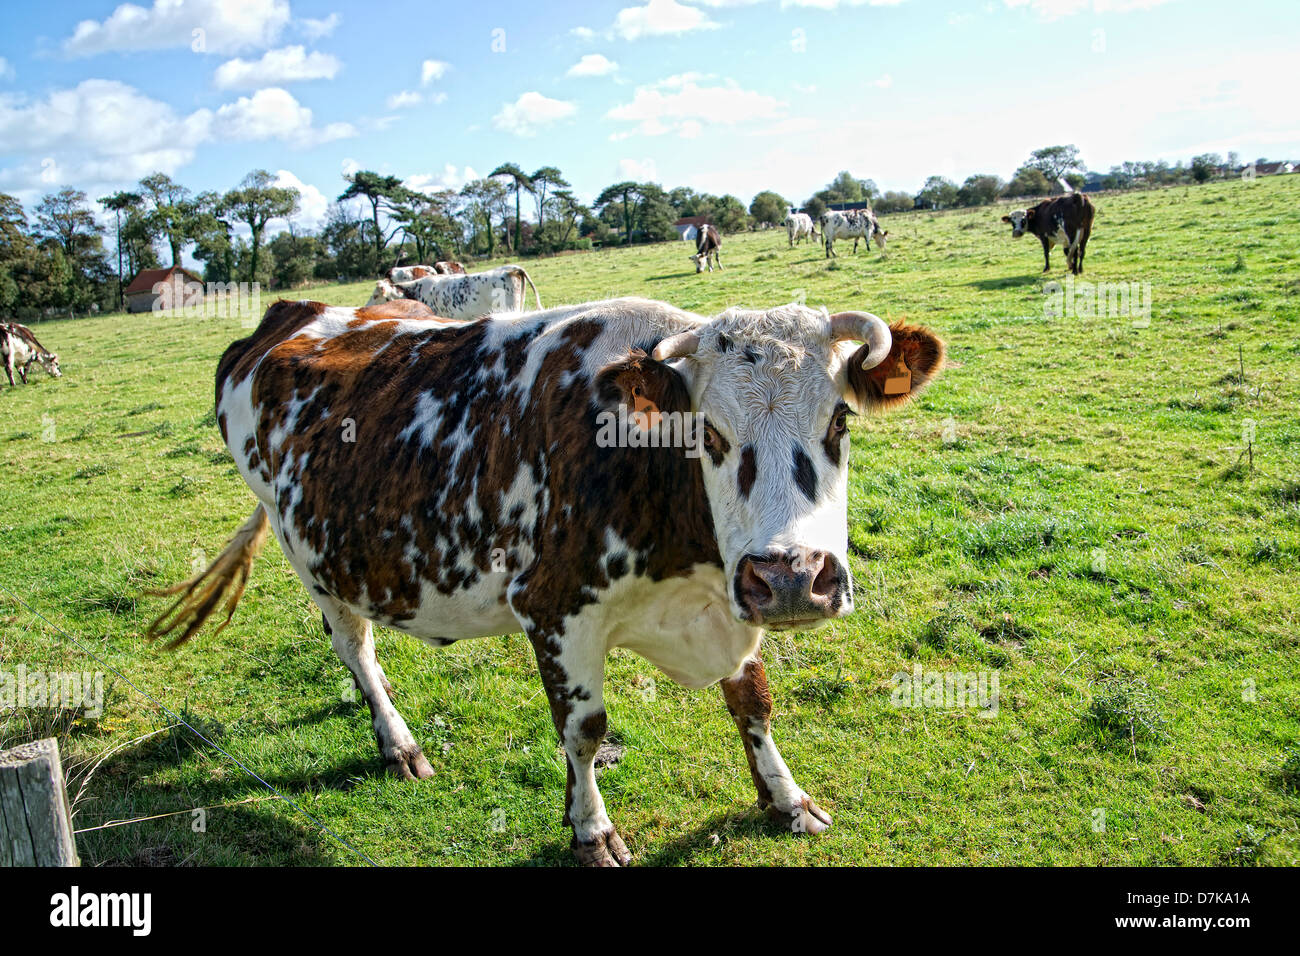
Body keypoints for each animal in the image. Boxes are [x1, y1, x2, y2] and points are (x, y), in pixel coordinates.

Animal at [147, 294, 945, 866]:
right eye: (708, 433)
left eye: (839, 421)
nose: (791, 578)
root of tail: (294, 311)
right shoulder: (556, 611)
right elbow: (584, 730)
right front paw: (590, 831)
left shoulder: (728, 601)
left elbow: (753, 703)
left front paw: (786, 798)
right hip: (313, 559)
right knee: (355, 649)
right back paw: (398, 742)